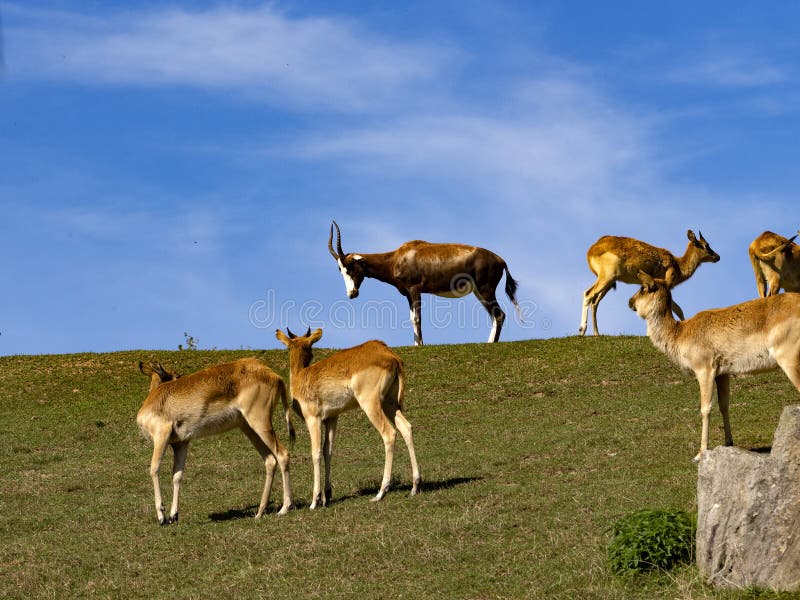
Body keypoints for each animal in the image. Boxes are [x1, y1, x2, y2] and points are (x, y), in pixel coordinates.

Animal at [136, 358, 294, 525]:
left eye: (176, 375)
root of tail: (274, 375)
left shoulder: (162, 436)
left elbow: (154, 469)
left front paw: (162, 516)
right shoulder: (181, 443)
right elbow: (177, 475)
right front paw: (174, 515)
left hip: (260, 423)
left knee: (282, 454)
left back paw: (284, 508)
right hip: (248, 428)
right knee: (270, 460)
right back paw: (259, 512)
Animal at [275, 327, 421, 508]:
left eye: (308, 346)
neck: (301, 376)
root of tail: (390, 355)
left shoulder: (313, 420)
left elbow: (316, 452)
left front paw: (315, 500)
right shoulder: (331, 419)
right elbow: (328, 451)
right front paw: (327, 496)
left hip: (371, 405)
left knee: (389, 433)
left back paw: (381, 492)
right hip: (390, 404)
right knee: (406, 427)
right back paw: (415, 486)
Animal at [328, 220, 521, 346]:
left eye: (350, 268)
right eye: (340, 270)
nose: (351, 293)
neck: (398, 257)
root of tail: (501, 260)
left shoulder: (415, 289)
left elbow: (417, 318)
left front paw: (421, 345)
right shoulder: (407, 294)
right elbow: (412, 318)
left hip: (486, 290)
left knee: (500, 315)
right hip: (479, 293)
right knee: (495, 316)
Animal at [579, 230, 720, 336]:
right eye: (706, 245)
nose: (717, 257)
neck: (677, 264)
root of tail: (592, 249)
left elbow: (678, 309)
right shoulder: (666, 284)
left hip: (609, 283)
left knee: (594, 302)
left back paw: (596, 334)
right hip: (607, 278)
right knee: (588, 294)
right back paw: (582, 330)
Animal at [628, 271, 800, 462]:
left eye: (643, 288)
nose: (630, 302)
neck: (680, 332)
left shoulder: (705, 370)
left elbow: (705, 408)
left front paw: (700, 453)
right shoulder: (722, 374)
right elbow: (724, 404)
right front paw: (728, 442)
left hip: (788, 360)